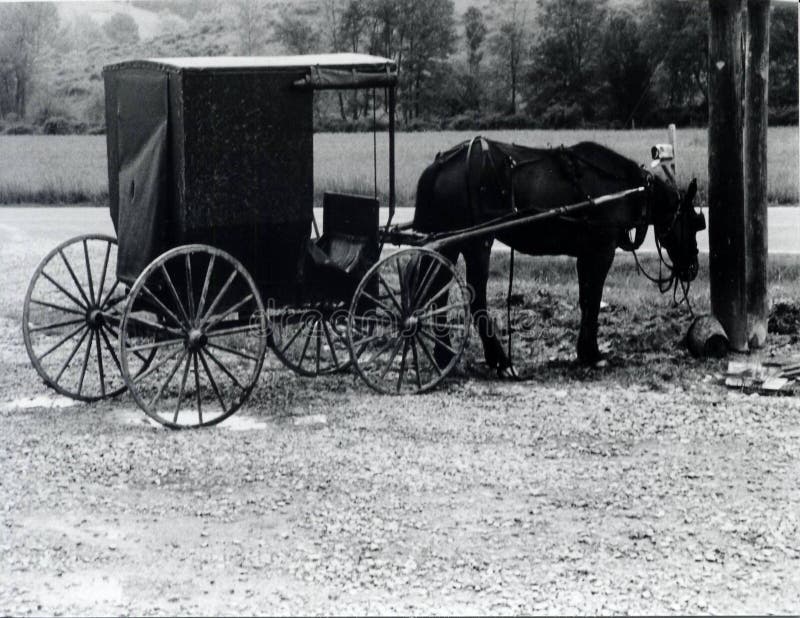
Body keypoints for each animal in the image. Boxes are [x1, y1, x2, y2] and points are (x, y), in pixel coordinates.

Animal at [412, 136, 706, 375]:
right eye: (694, 222)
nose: (692, 267)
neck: (623, 189)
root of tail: (442, 164)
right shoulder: (601, 252)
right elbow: (593, 300)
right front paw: (592, 354)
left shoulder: (585, 256)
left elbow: (586, 300)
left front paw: (585, 352)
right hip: (476, 243)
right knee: (474, 301)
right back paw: (499, 360)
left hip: (449, 245)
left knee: (437, 294)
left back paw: (444, 354)